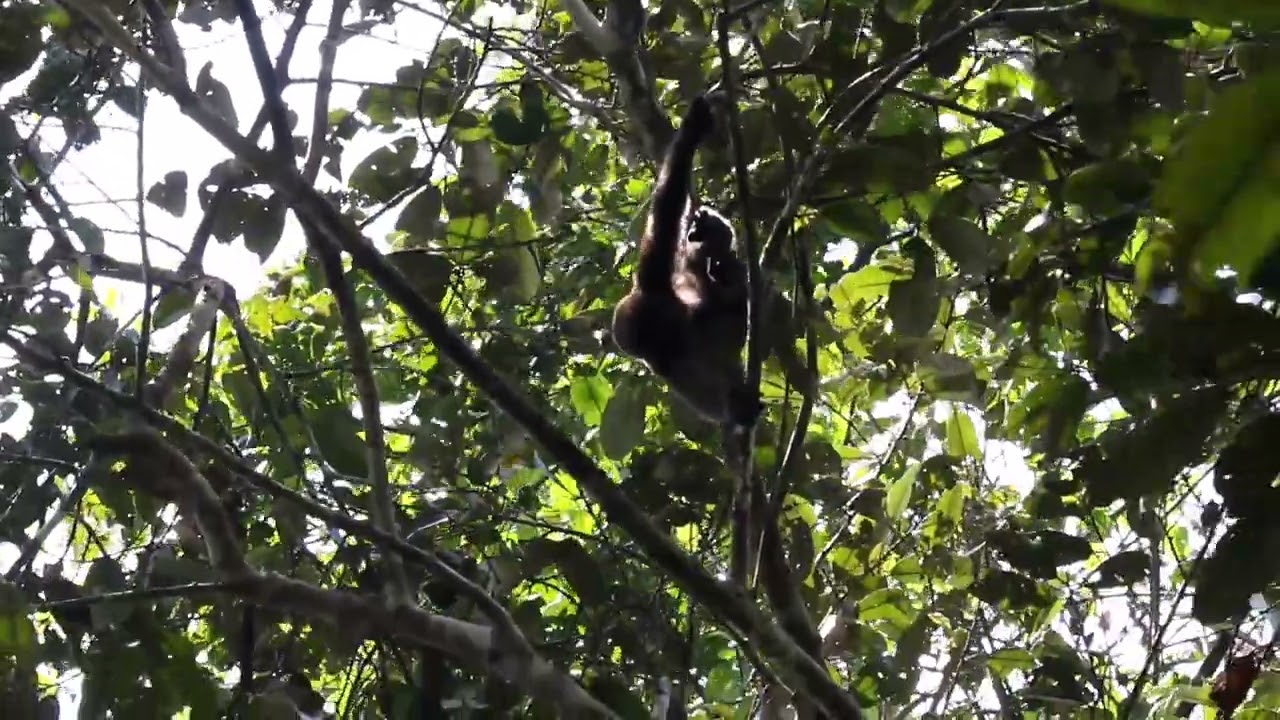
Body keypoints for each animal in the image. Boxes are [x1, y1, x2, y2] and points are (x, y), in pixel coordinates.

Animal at [611, 94, 762, 429]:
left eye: (654, 333)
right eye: (649, 348)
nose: (659, 354)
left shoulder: (652, 277)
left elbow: (665, 211)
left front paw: (693, 128)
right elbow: (704, 395)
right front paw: (737, 409)